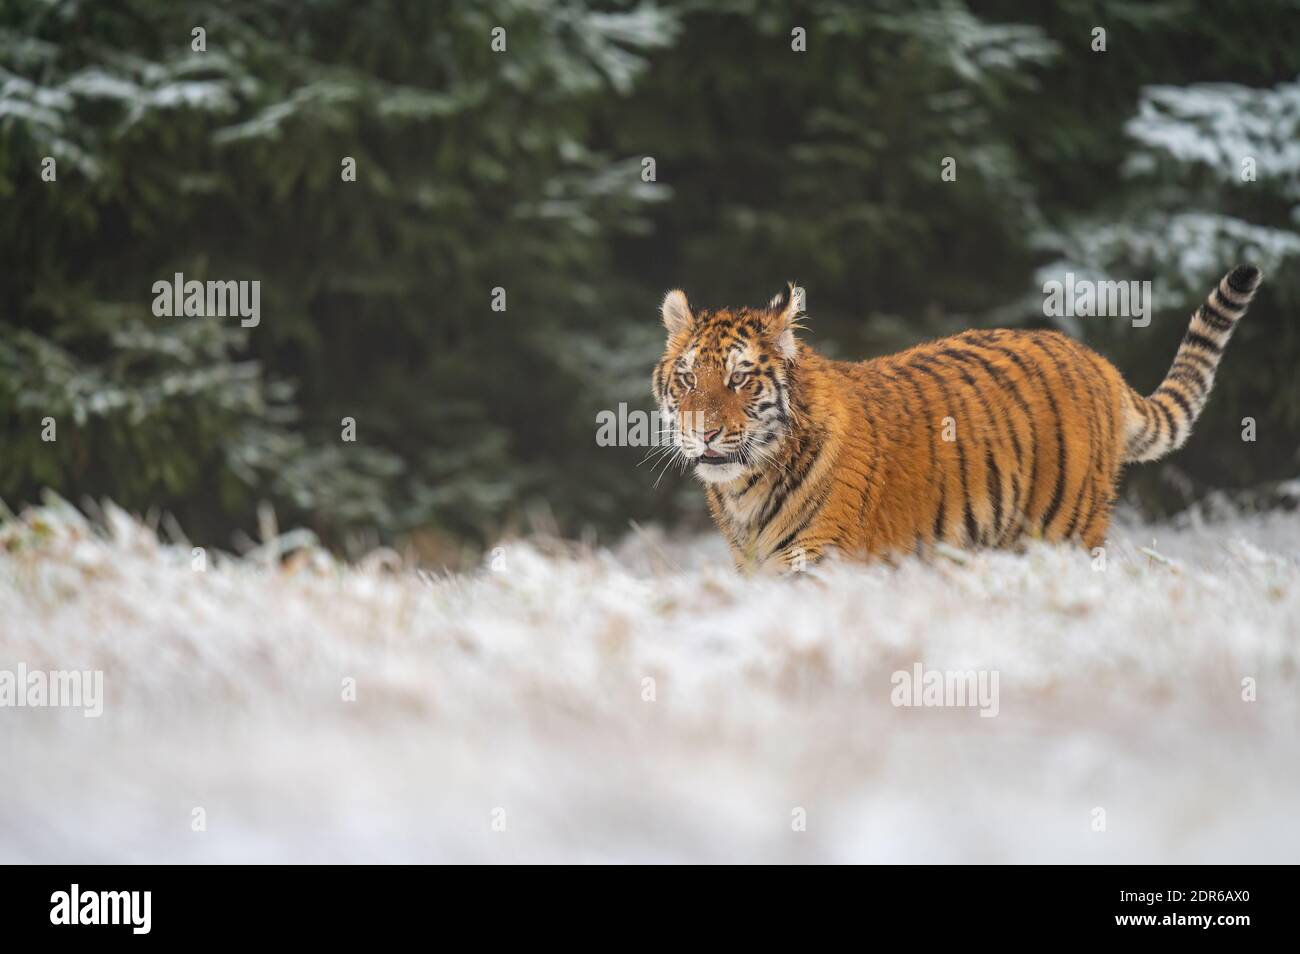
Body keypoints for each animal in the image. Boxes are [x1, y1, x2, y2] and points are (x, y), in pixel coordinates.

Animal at [651, 265, 1263, 572]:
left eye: (740, 379)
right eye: (688, 379)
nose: (702, 432)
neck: (746, 489)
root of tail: (1097, 362)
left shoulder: (820, 563)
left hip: (1063, 533)